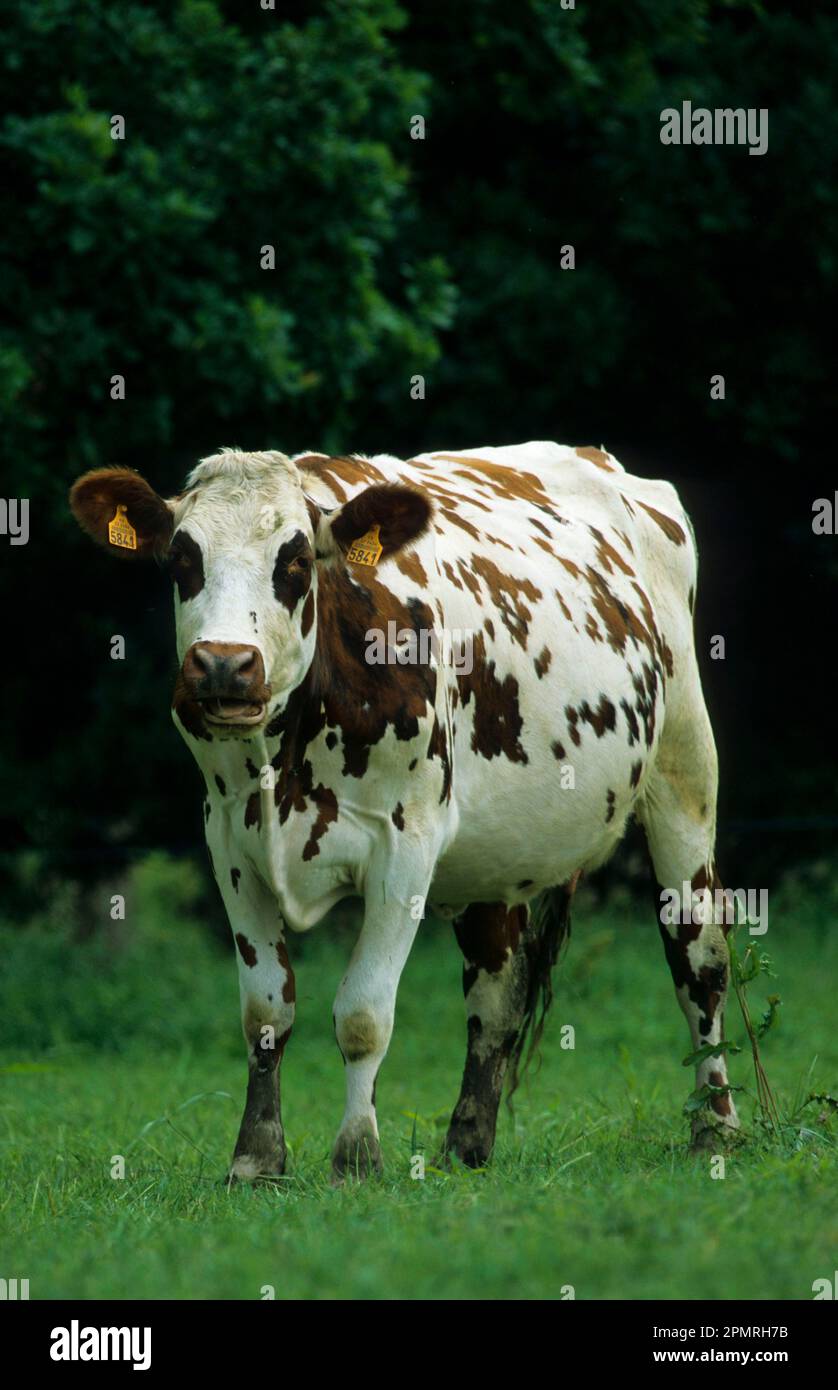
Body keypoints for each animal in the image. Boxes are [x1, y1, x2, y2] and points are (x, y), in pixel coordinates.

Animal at [70, 441, 739, 1181]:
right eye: (183, 560)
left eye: (295, 560)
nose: (223, 665)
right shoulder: (229, 842)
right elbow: (265, 1010)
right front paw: (256, 1158)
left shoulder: (405, 846)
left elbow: (364, 1015)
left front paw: (357, 1156)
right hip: (495, 854)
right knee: (496, 996)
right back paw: (467, 1144)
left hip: (684, 777)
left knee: (699, 961)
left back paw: (716, 1127)